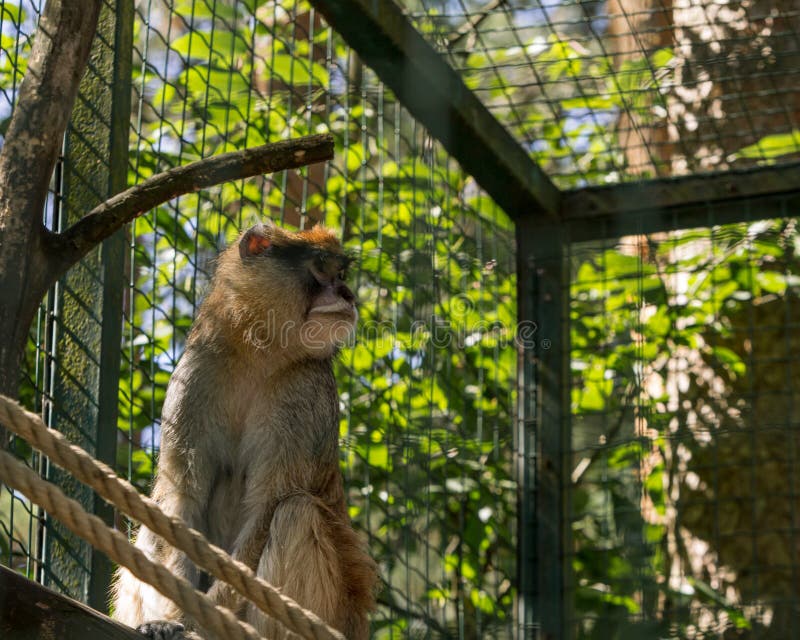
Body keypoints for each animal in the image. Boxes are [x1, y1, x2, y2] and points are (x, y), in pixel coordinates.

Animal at [113, 221, 378, 639]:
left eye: (342, 274)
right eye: (323, 269)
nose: (348, 294)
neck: (260, 351)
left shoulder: (307, 389)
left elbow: (266, 506)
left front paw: (198, 620)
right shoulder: (196, 373)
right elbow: (181, 500)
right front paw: (170, 617)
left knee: (296, 512)